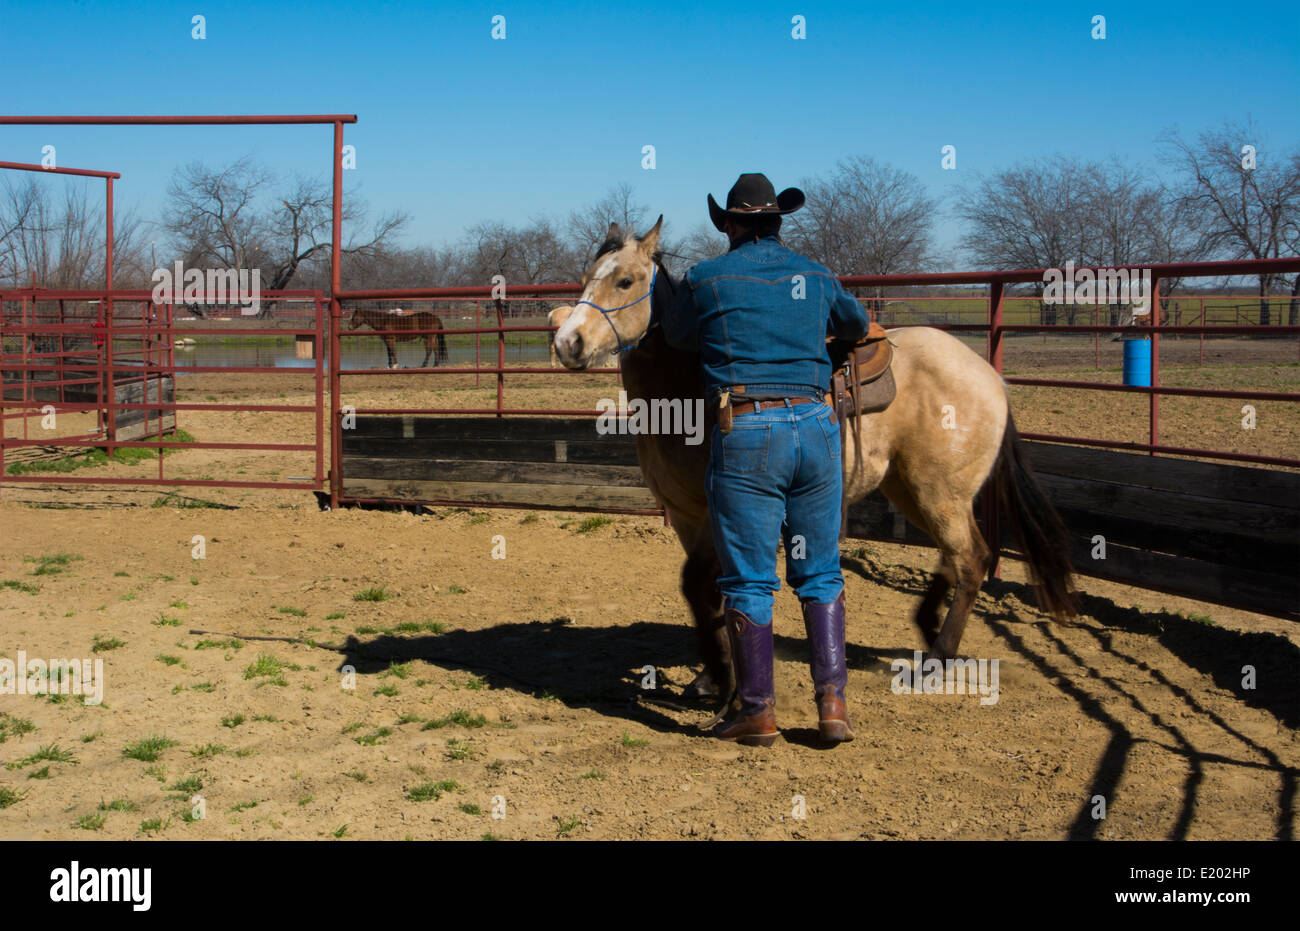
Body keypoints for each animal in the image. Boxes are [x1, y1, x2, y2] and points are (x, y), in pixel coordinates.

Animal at [553, 217, 1077, 698]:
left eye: (625, 281)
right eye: (585, 277)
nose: (566, 342)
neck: (689, 390)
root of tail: (990, 376)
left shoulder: (720, 511)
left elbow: (701, 585)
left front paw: (721, 679)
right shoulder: (684, 515)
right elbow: (711, 592)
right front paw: (710, 676)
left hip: (939, 491)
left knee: (971, 558)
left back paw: (938, 657)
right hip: (912, 489)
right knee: (957, 554)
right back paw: (929, 628)